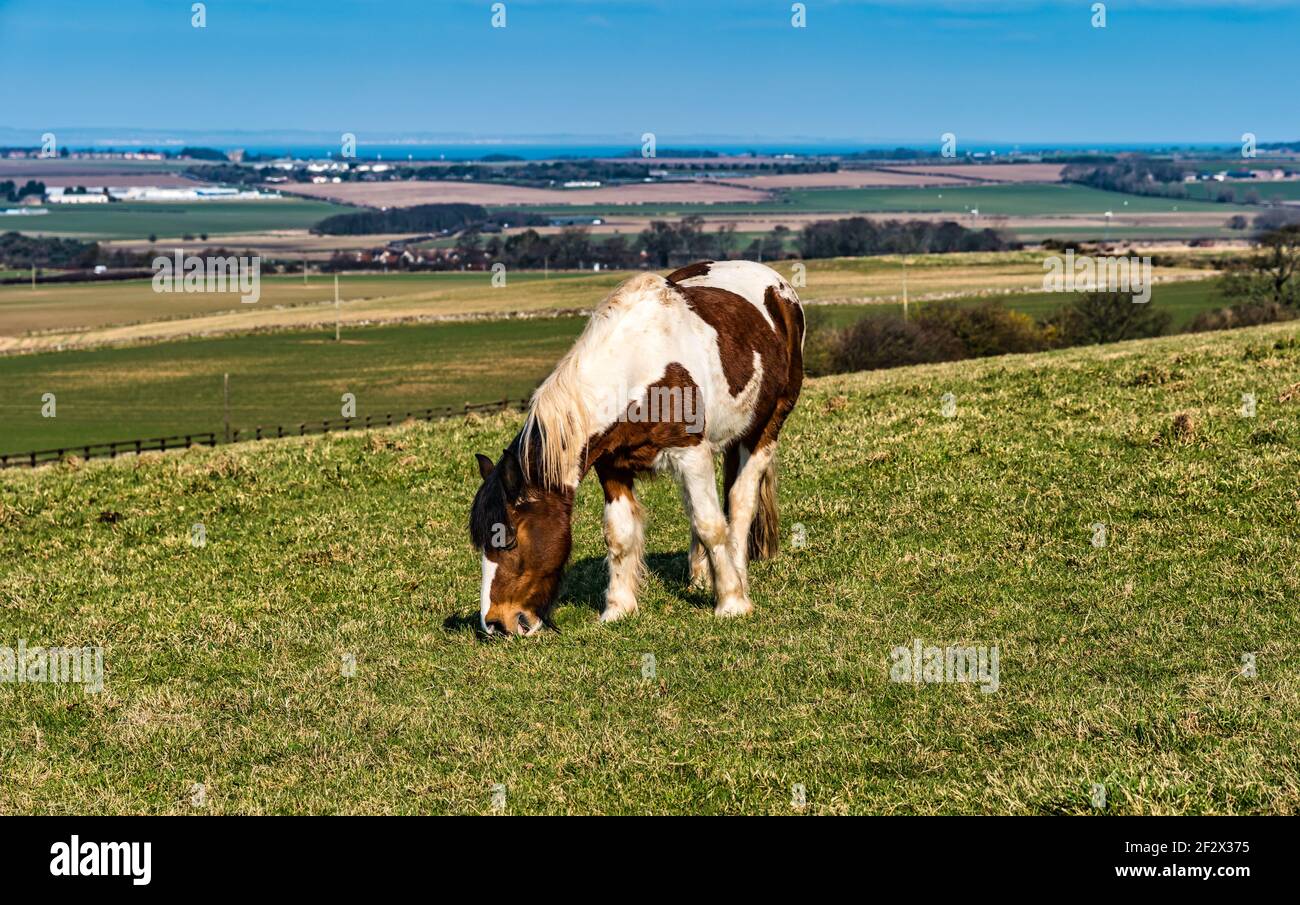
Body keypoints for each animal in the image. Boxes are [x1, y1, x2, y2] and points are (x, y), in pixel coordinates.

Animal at [469, 260, 805, 635]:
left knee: (741, 502)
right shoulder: (612, 465)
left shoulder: (691, 453)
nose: (495, 623)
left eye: (508, 539)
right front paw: (618, 608)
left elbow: (711, 524)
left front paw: (731, 602)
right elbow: (620, 534)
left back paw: (737, 576)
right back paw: (702, 578)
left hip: (765, 428)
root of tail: (774, 282)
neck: (640, 366)